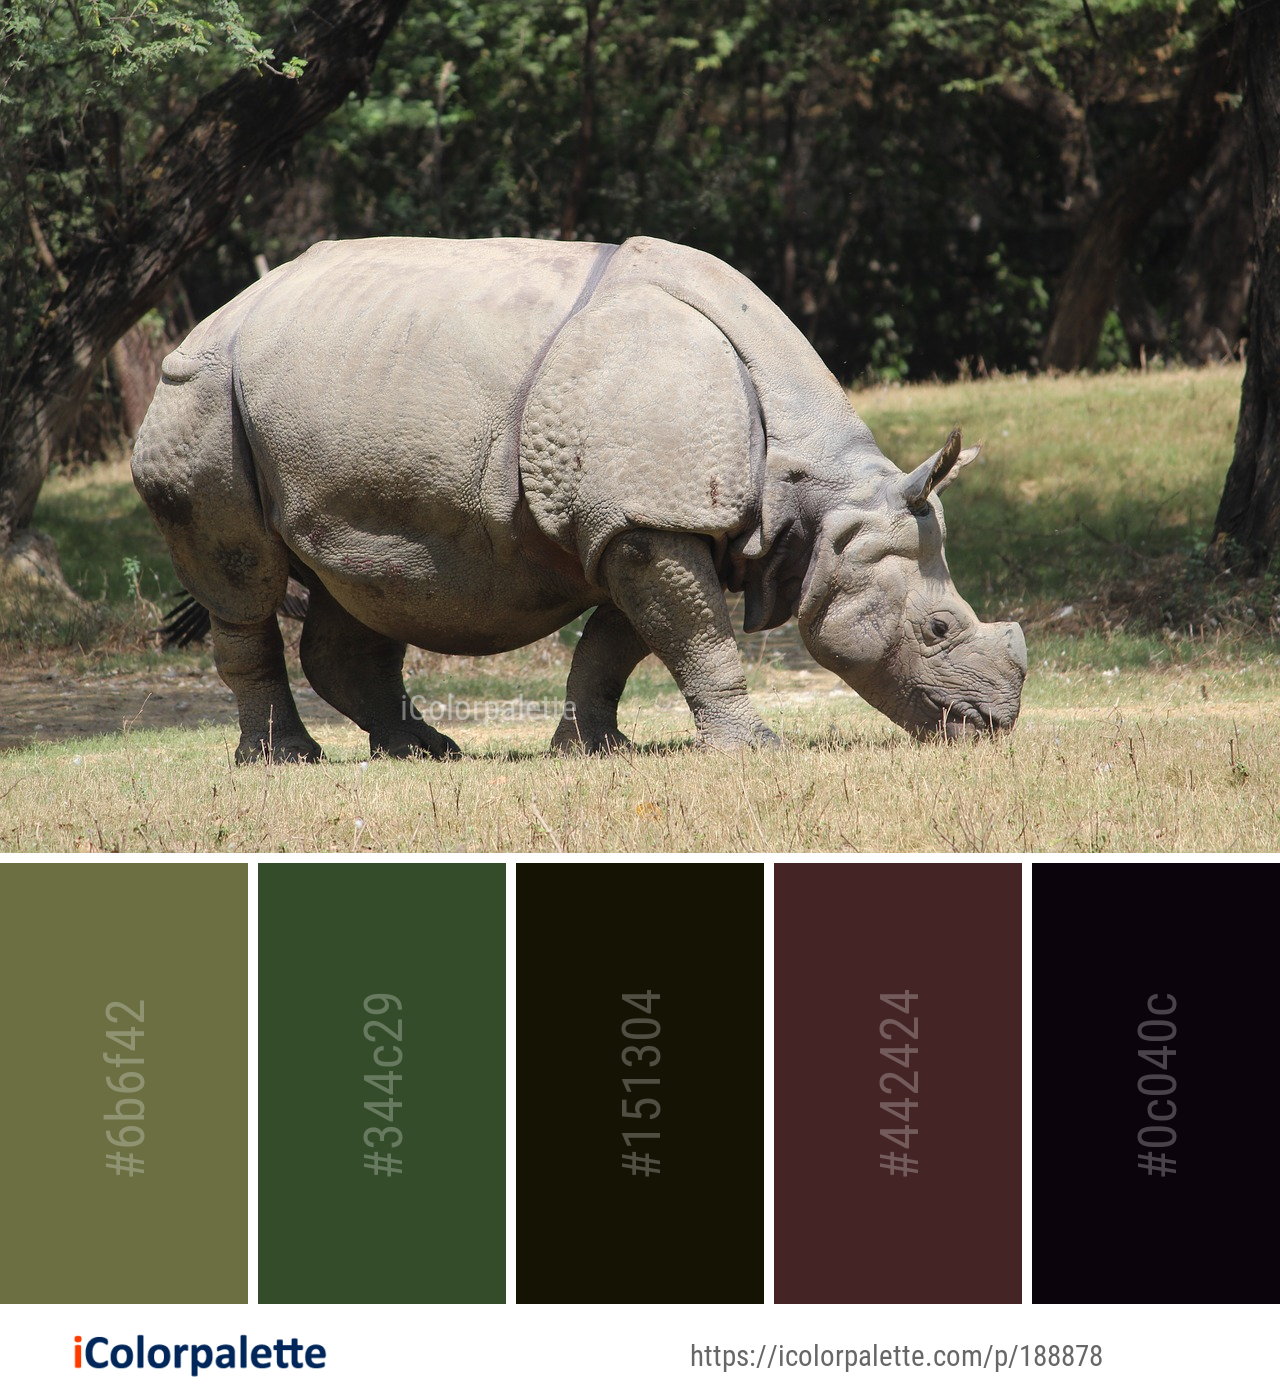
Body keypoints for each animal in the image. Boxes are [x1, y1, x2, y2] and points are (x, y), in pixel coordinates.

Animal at [131, 235, 1026, 761]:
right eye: (937, 630)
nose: (993, 727)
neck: (815, 490)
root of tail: (215, 316)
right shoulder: (649, 520)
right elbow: (697, 638)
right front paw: (758, 751)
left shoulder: (638, 521)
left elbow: (620, 644)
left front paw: (594, 749)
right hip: (201, 392)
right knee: (243, 580)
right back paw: (288, 760)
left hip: (330, 398)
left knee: (359, 580)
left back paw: (424, 751)